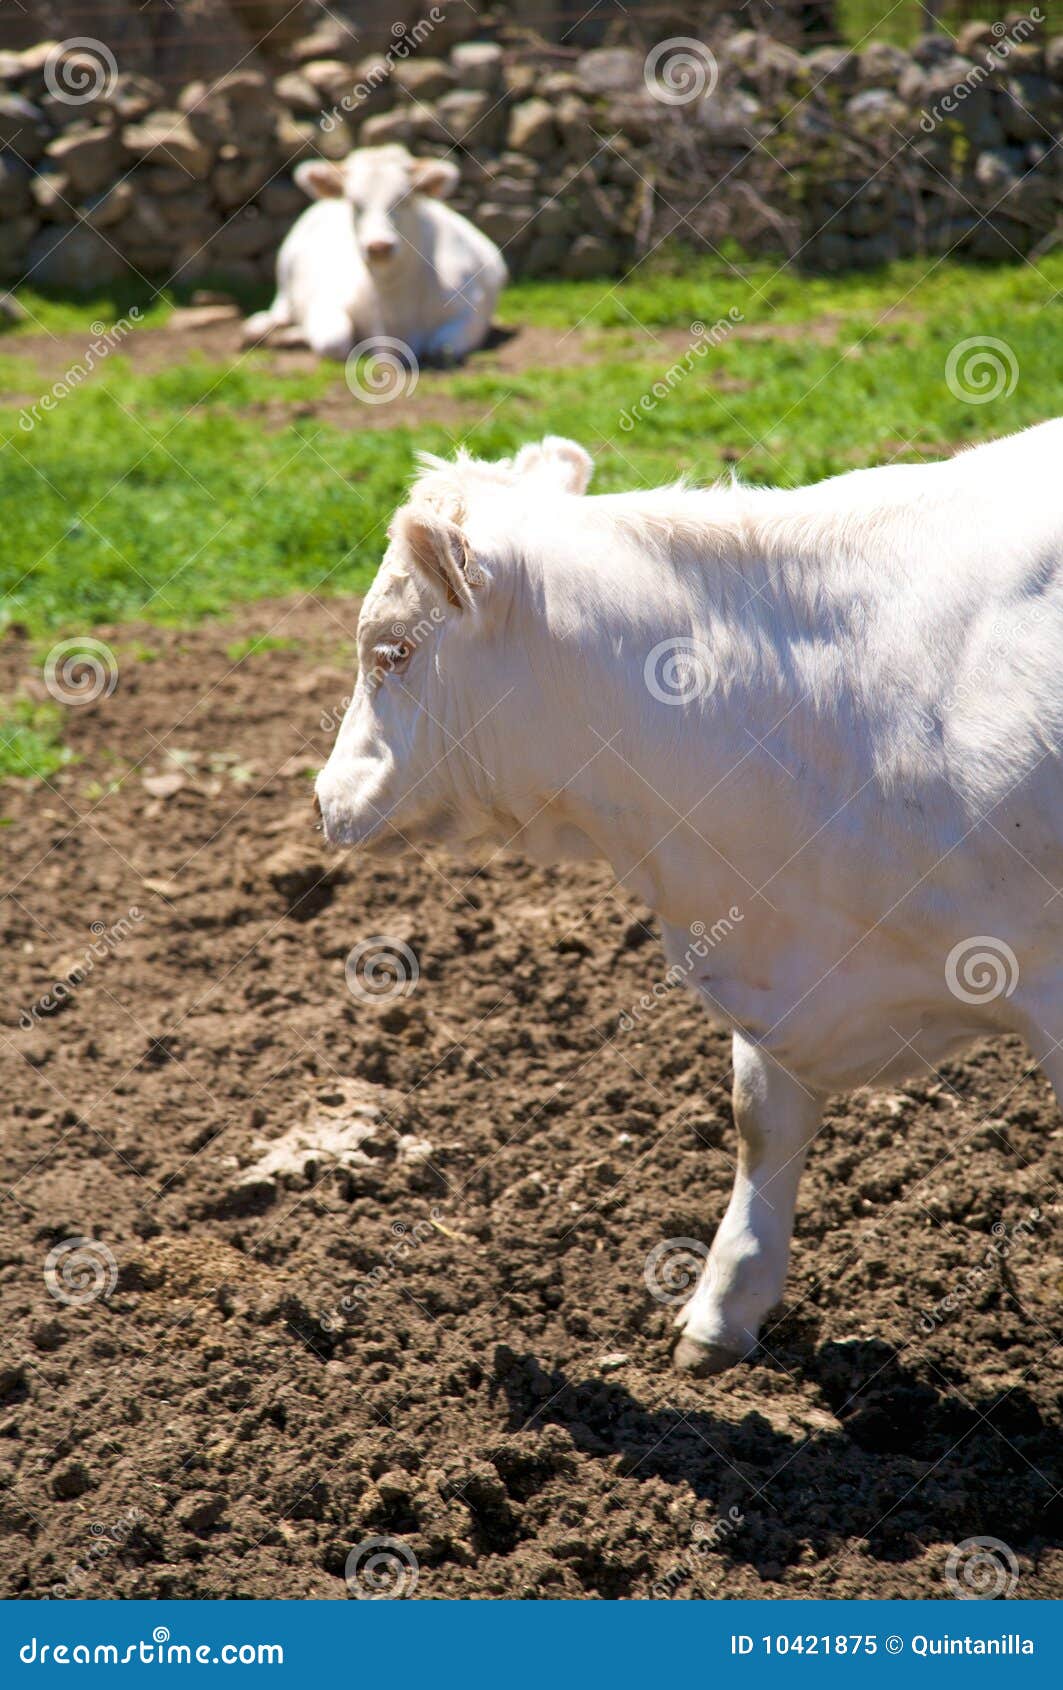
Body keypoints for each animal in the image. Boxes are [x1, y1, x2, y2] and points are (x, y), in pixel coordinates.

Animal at [242, 145, 507, 364]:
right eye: (354, 203)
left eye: (404, 199)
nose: (379, 246)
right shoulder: (326, 301)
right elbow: (335, 342)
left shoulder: (471, 311)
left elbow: (442, 347)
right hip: (285, 271)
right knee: (281, 311)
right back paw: (263, 327)